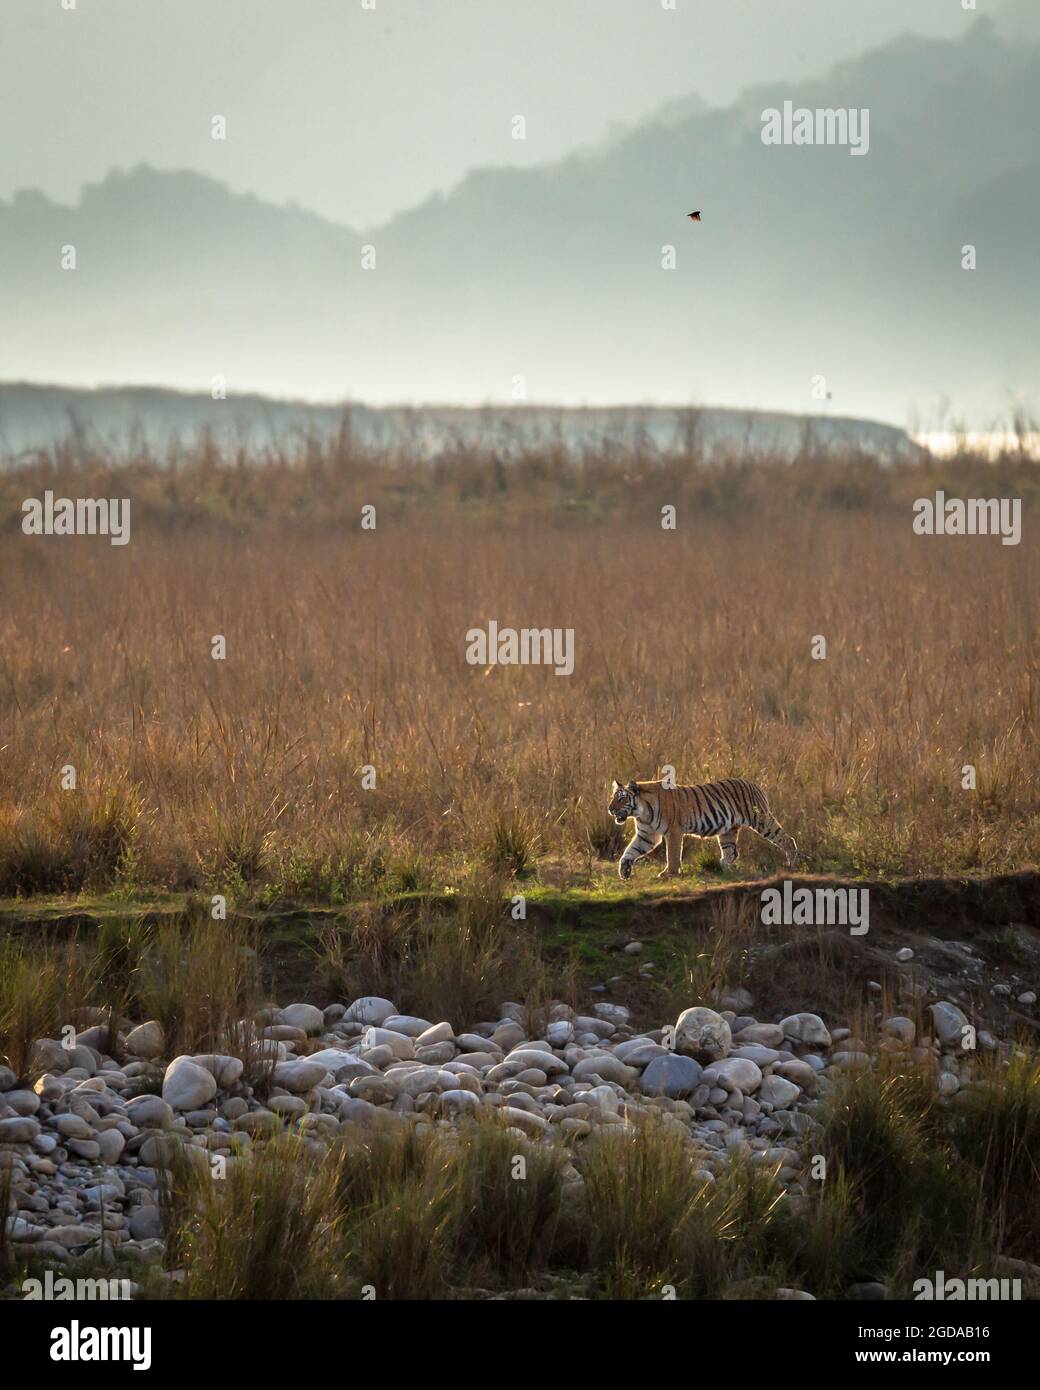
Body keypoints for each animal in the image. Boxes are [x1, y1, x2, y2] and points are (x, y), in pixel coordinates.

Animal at [607, 776, 797, 879]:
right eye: (613, 797)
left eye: (622, 798)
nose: (610, 809)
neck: (641, 812)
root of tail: (754, 784)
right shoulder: (647, 835)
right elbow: (630, 851)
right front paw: (624, 871)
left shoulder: (673, 832)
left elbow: (672, 855)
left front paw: (669, 874)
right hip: (728, 831)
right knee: (731, 852)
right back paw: (726, 869)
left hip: (761, 820)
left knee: (786, 839)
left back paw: (791, 862)